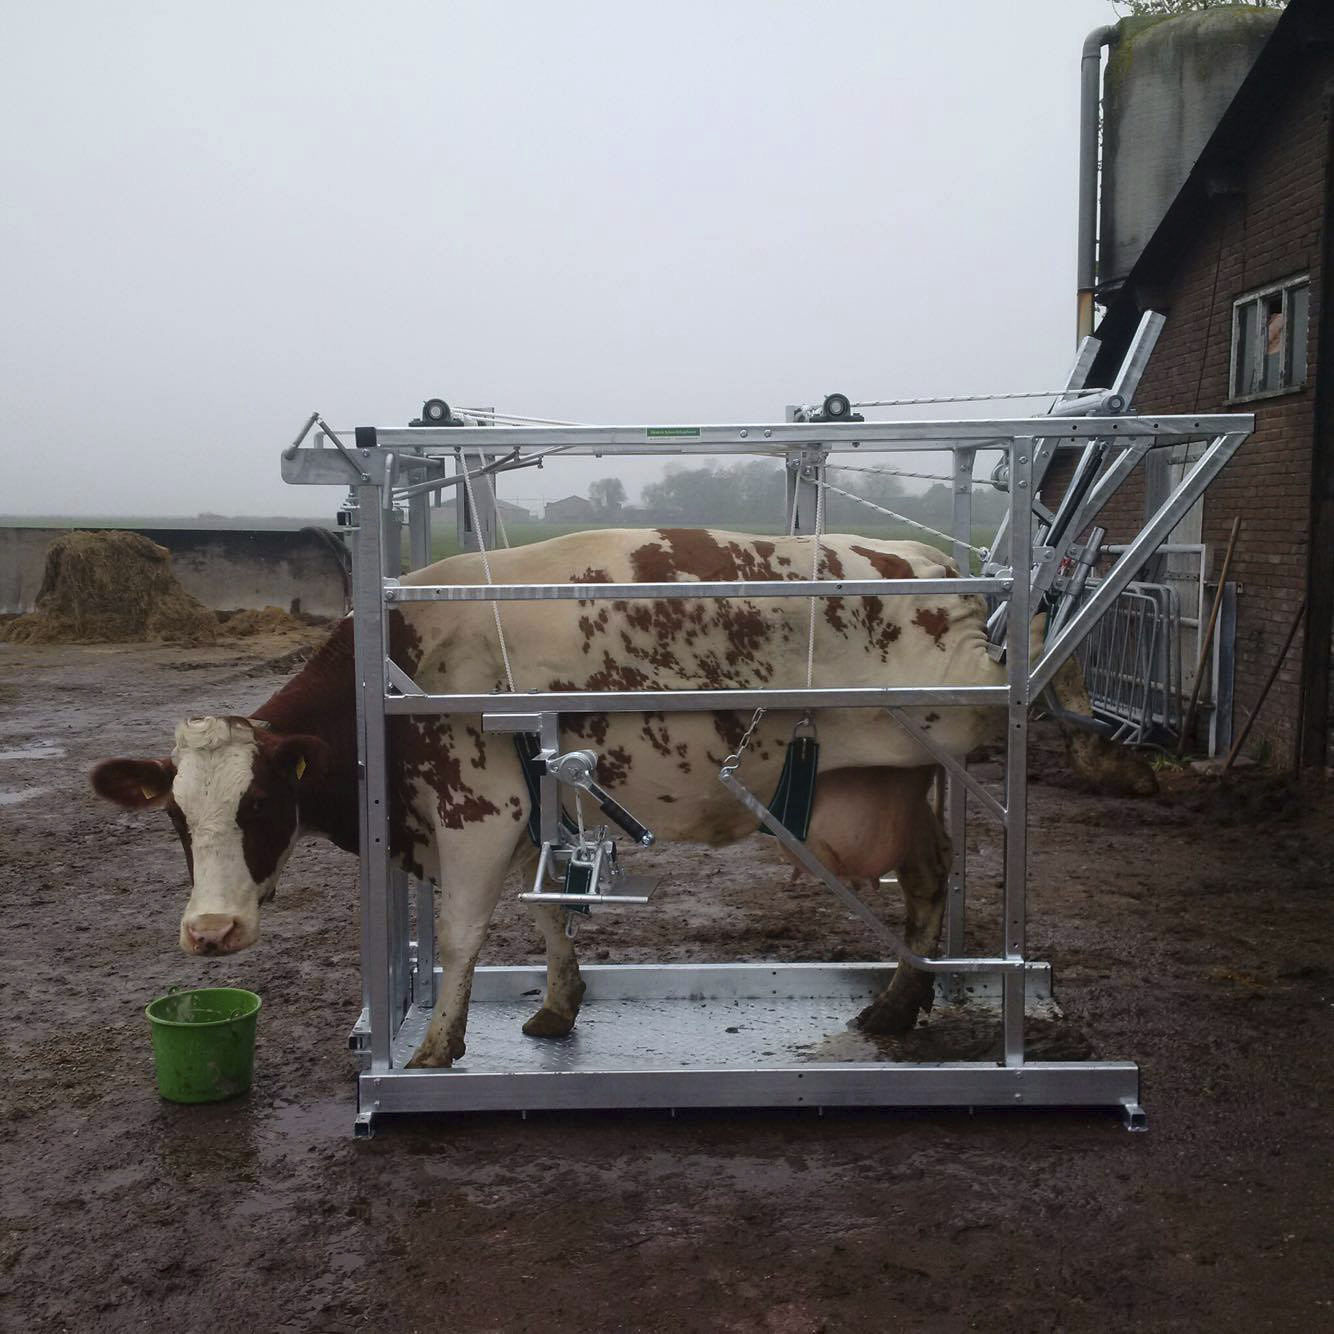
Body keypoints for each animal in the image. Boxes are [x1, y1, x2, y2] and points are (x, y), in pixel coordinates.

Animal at [92, 527, 1006, 1067]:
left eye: (257, 807)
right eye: (176, 818)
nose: (210, 932)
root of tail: (929, 559)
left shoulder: (476, 812)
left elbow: (461, 936)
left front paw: (434, 1046)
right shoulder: (534, 804)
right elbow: (546, 916)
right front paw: (558, 1007)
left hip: (939, 745)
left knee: (931, 877)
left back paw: (900, 1002)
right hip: (896, 782)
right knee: (930, 874)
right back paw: (901, 1002)